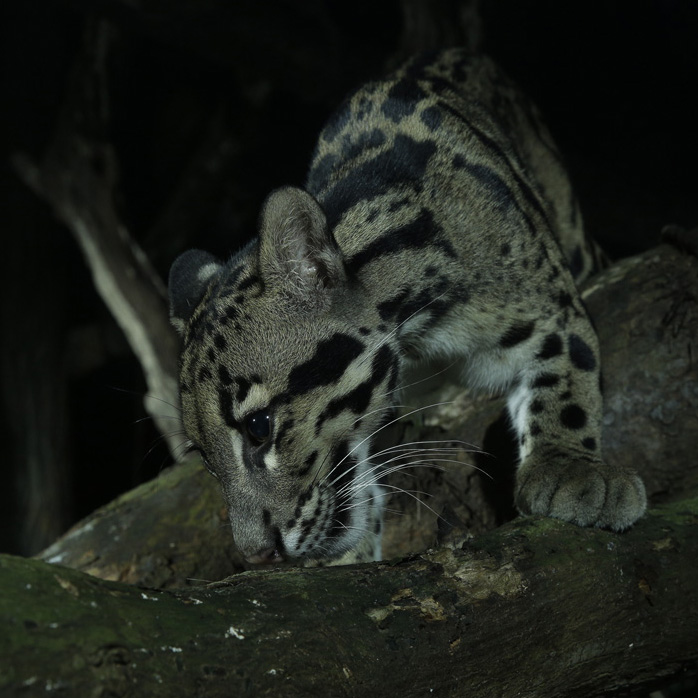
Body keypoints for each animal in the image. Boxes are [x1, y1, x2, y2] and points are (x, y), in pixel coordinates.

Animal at [168, 49, 646, 566]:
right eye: (204, 457)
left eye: (259, 427)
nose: (257, 555)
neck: (417, 340)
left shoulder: (549, 307)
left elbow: (570, 374)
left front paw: (571, 468)